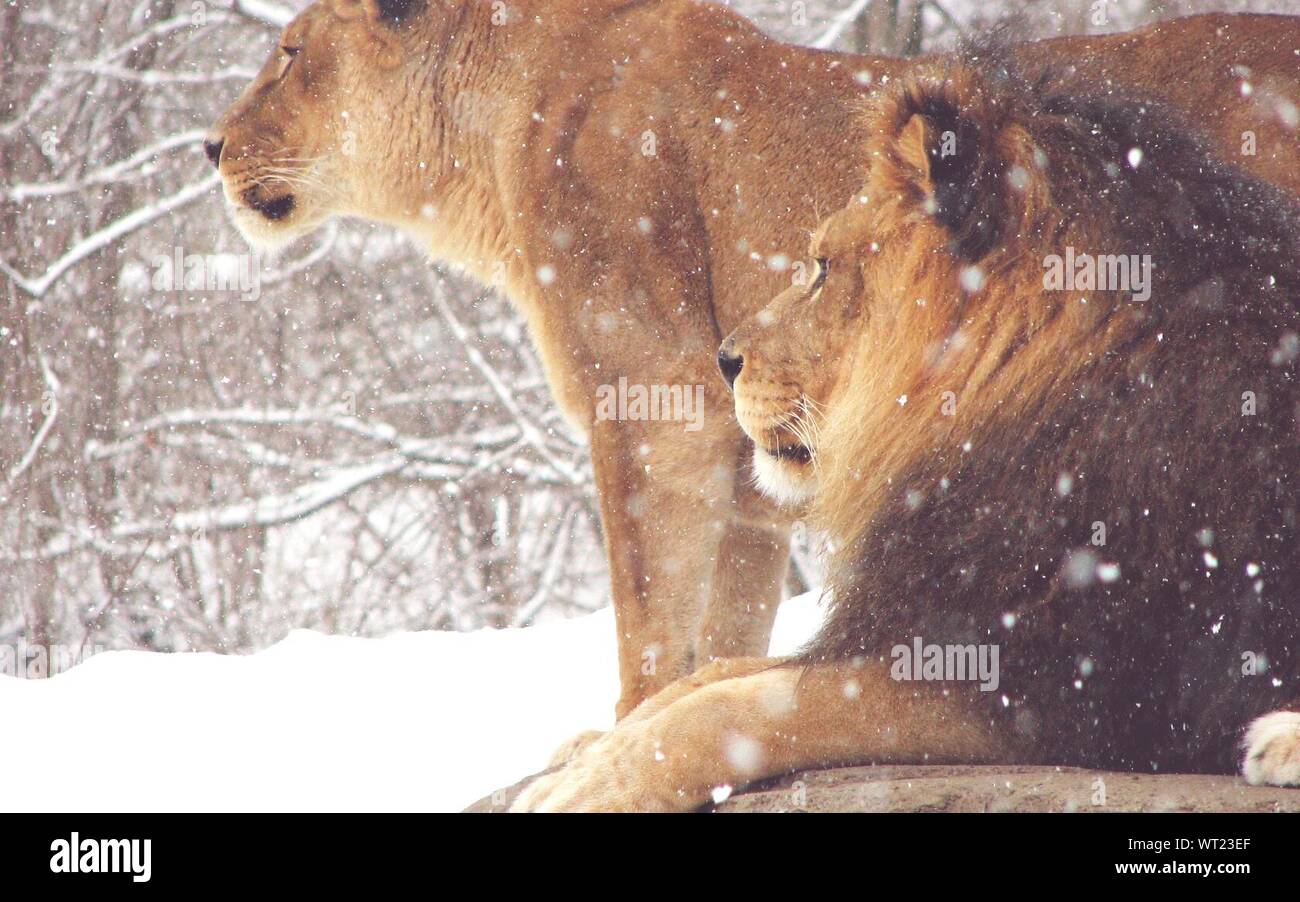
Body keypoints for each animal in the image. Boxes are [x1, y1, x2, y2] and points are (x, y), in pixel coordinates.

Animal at [205, 0, 1300, 721]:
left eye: (290, 52)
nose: (209, 146)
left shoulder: (655, 409)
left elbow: (650, 635)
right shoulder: (752, 476)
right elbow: (724, 637)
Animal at [511, 55, 1300, 811]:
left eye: (824, 266)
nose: (725, 358)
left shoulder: (1046, 681)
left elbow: (733, 711)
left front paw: (586, 791)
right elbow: (708, 681)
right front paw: (581, 757)